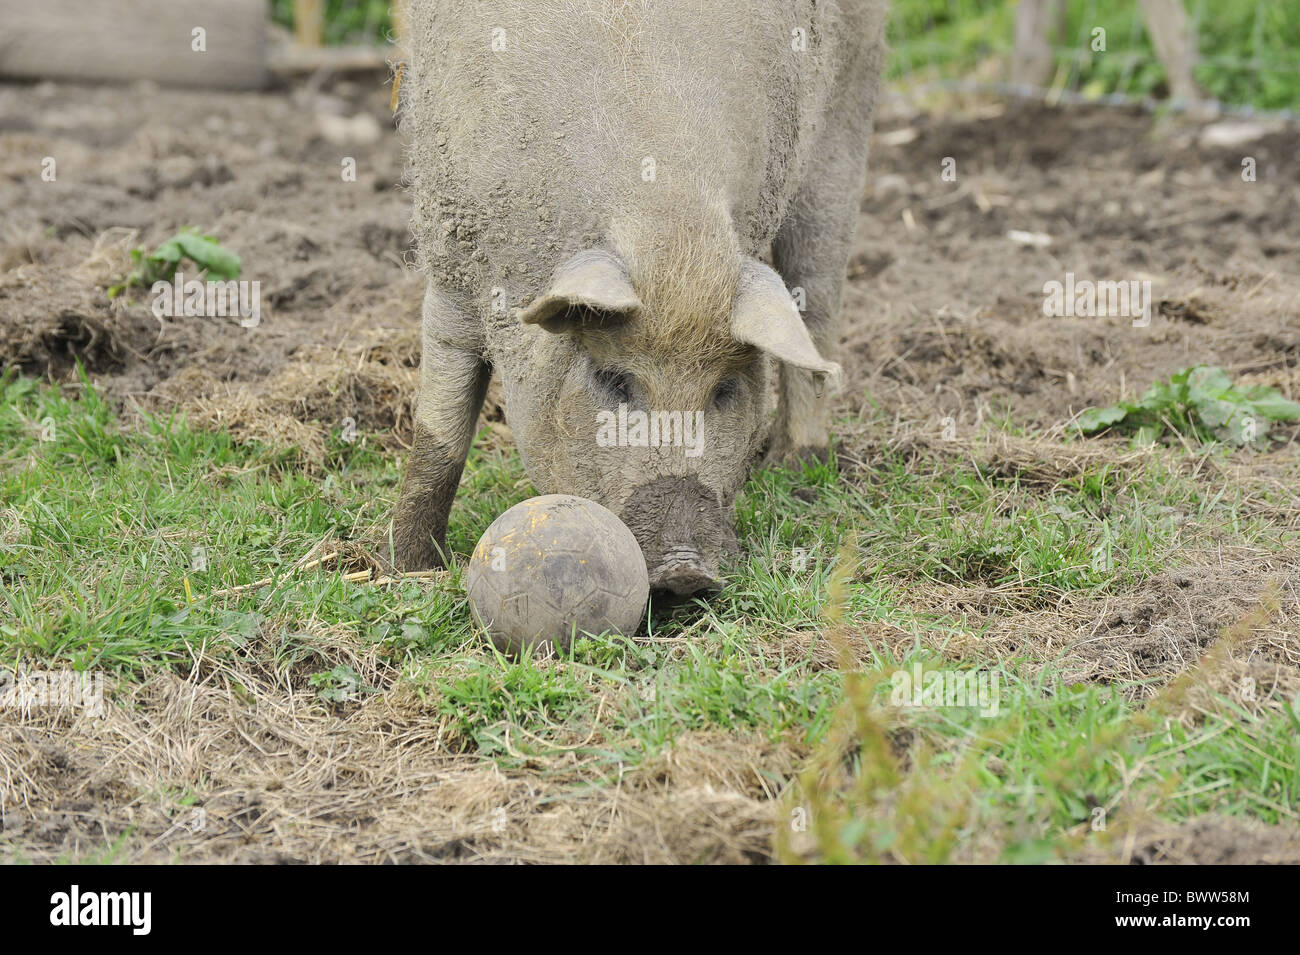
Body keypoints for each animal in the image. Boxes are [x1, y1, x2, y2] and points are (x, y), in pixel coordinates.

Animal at [390, 0, 887, 595]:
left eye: (723, 390)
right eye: (614, 380)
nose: (685, 570)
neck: (667, 235)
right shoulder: (449, 258)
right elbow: (440, 432)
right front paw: (411, 567)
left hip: (847, 112)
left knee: (817, 302)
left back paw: (796, 474)